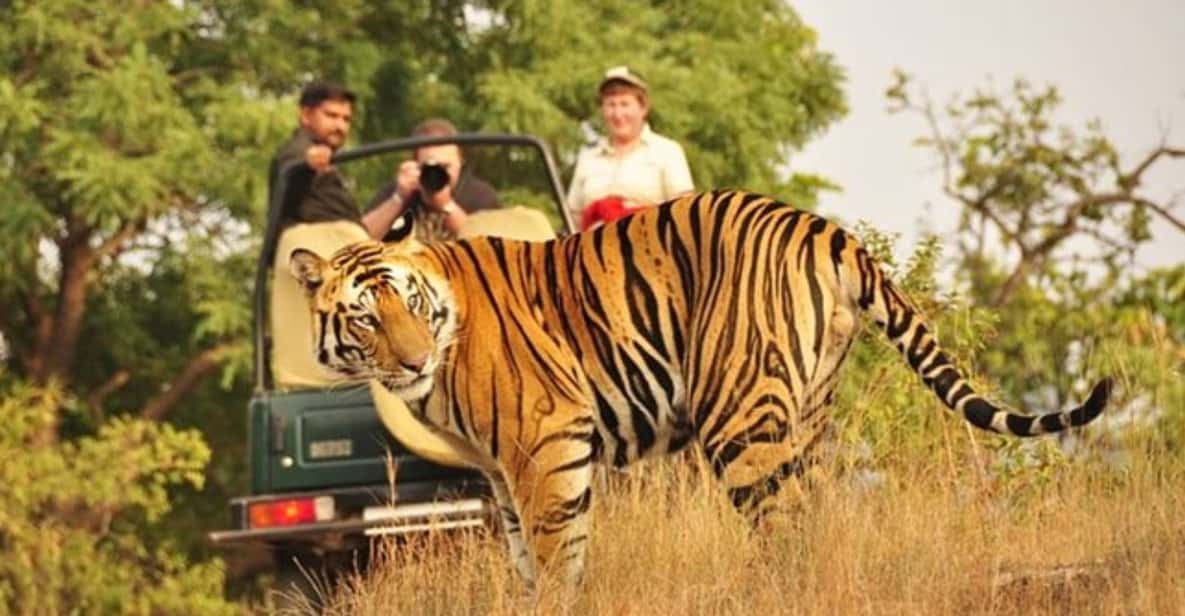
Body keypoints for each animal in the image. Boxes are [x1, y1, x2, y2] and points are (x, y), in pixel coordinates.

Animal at [288, 190, 1111, 588]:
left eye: (408, 303)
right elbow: (527, 559)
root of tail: (826, 229)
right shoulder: (501, 472)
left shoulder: (546, 444)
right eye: (366, 317)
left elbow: (557, 558)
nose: (411, 362)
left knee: (783, 528)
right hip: (806, 414)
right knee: (815, 518)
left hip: (739, 417)